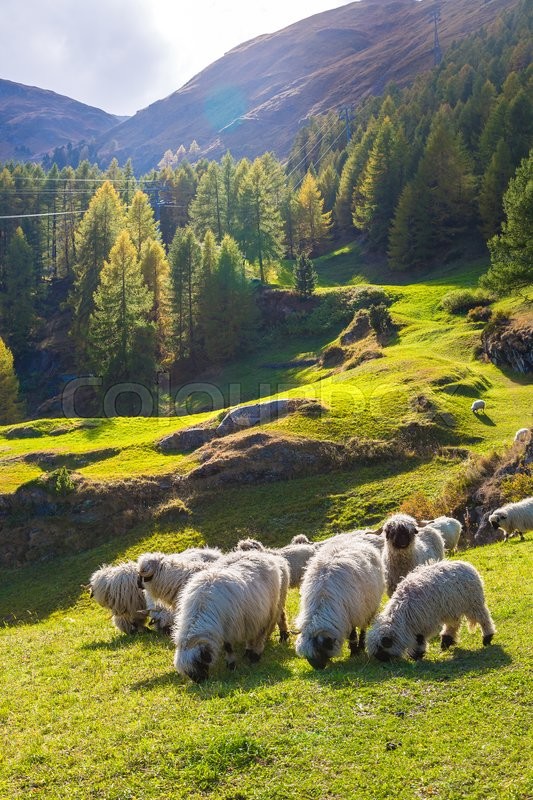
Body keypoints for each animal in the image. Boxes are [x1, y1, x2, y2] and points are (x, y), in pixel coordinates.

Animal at [172, 551, 289, 682]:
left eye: (199, 663)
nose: (200, 682)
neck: (201, 607)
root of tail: (264, 555)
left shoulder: (229, 627)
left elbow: (228, 646)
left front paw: (231, 664)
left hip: (269, 611)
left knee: (261, 634)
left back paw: (255, 656)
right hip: (251, 616)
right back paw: (248, 651)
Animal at [295, 540, 384, 670]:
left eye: (319, 650)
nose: (318, 668)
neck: (322, 600)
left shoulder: (351, 615)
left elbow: (352, 635)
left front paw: (354, 652)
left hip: (368, 607)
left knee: (364, 626)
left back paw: (361, 645)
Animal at [366, 560, 496, 661]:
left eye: (381, 647)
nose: (381, 660)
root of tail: (468, 565)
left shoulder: (423, 624)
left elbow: (419, 639)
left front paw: (417, 655)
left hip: (474, 604)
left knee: (484, 619)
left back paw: (487, 637)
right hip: (452, 608)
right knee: (453, 625)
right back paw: (446, 641)